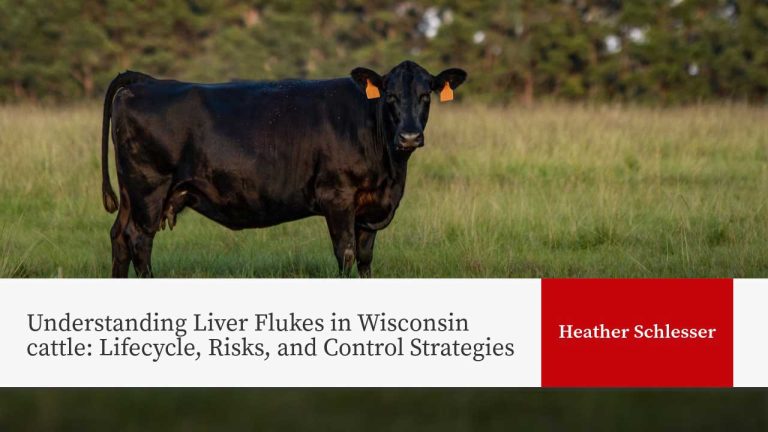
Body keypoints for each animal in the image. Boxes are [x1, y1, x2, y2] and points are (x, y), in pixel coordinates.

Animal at [101, 60, 467, 278]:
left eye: (425, 96)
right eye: (389, 96)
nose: (409, 136)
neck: (390, 172)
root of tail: (147, 82)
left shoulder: (369, 207)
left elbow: (365, 258)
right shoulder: (338, 198)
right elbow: (346, 254)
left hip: (132, 192)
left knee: (119, 236)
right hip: (149, 188)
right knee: (139, 240)